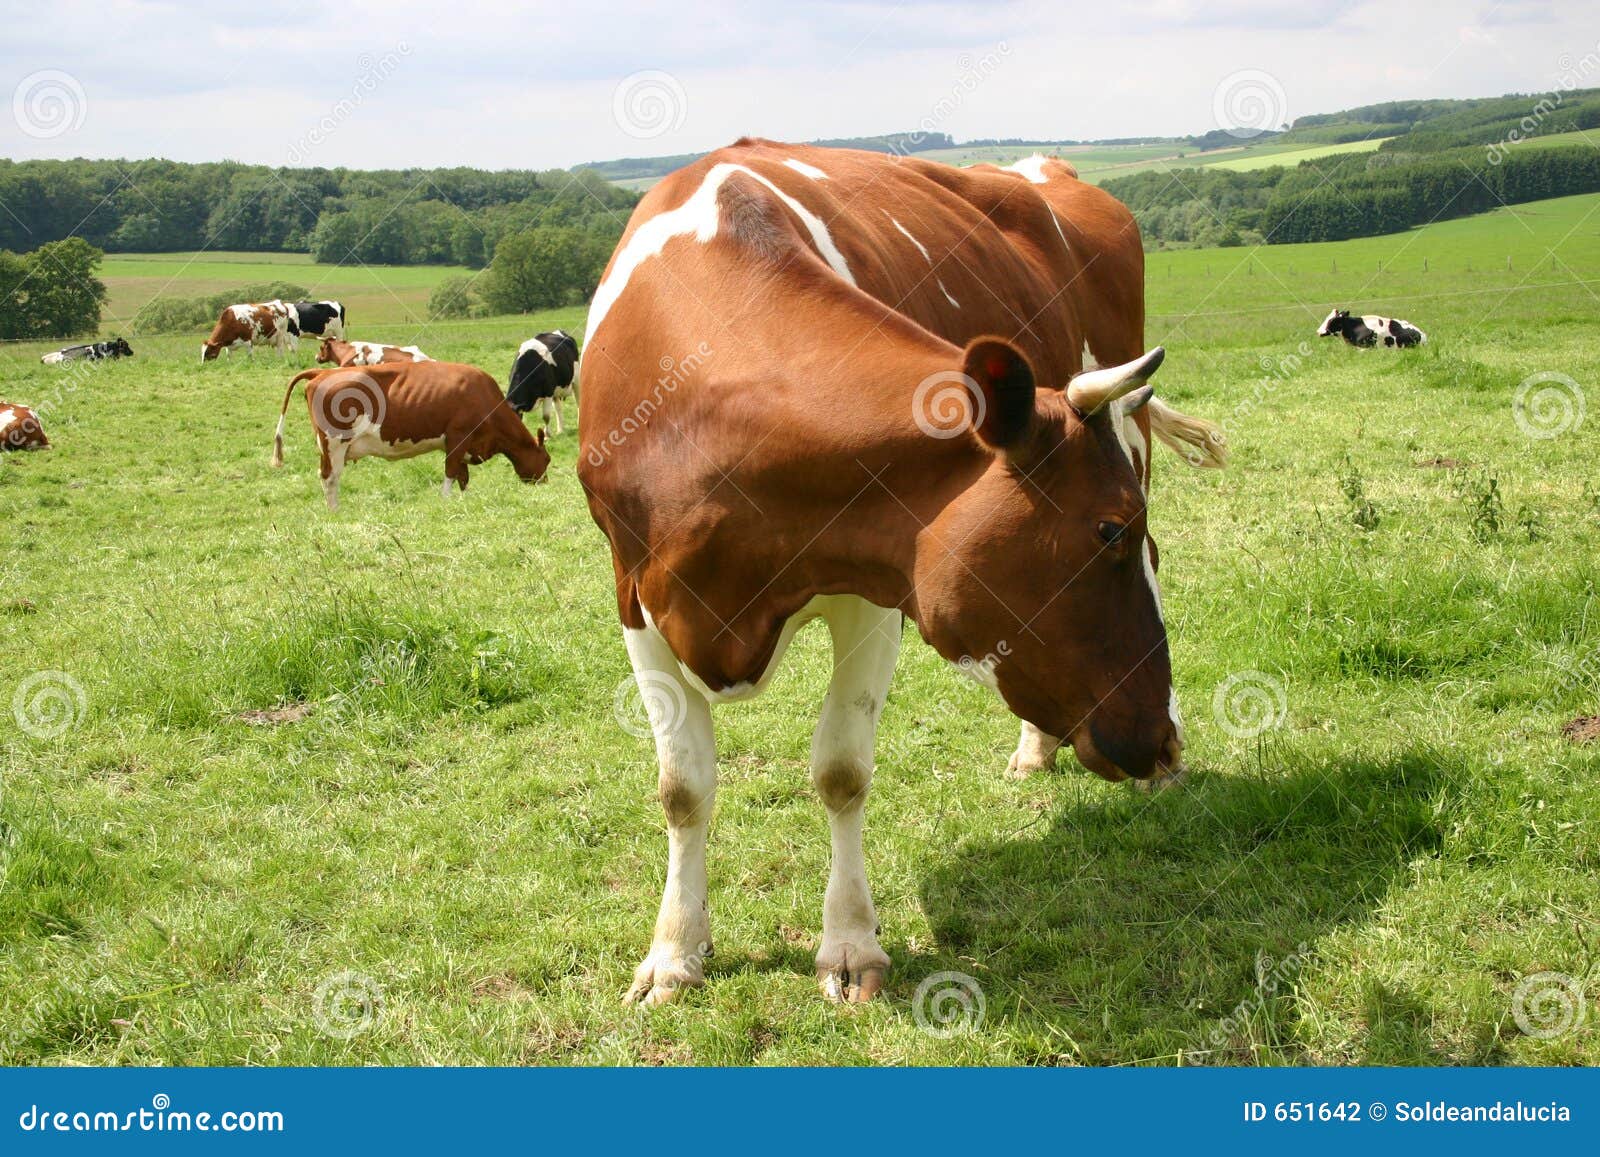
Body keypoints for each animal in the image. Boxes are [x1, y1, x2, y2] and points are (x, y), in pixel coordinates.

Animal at [270, 361, 550, 511]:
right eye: (547, 460)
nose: (545, 483)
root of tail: (323, 372)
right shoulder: (457, 438)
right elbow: (451, 473)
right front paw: (445, 502)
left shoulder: (461, 445)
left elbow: (463, 477)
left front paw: (463, 500)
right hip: (335, 444)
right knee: (330, 478)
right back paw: (334, 511)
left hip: (326, 447)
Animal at [577, 138, 1223, 1006]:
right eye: (1108, 528)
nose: (1160, 739)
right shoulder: (635, 593)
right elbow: (682, 785)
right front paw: (675, 952)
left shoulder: (876, 590)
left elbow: (841, 770)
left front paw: (850, 946)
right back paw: (1038, 747)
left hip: (1131, 423)